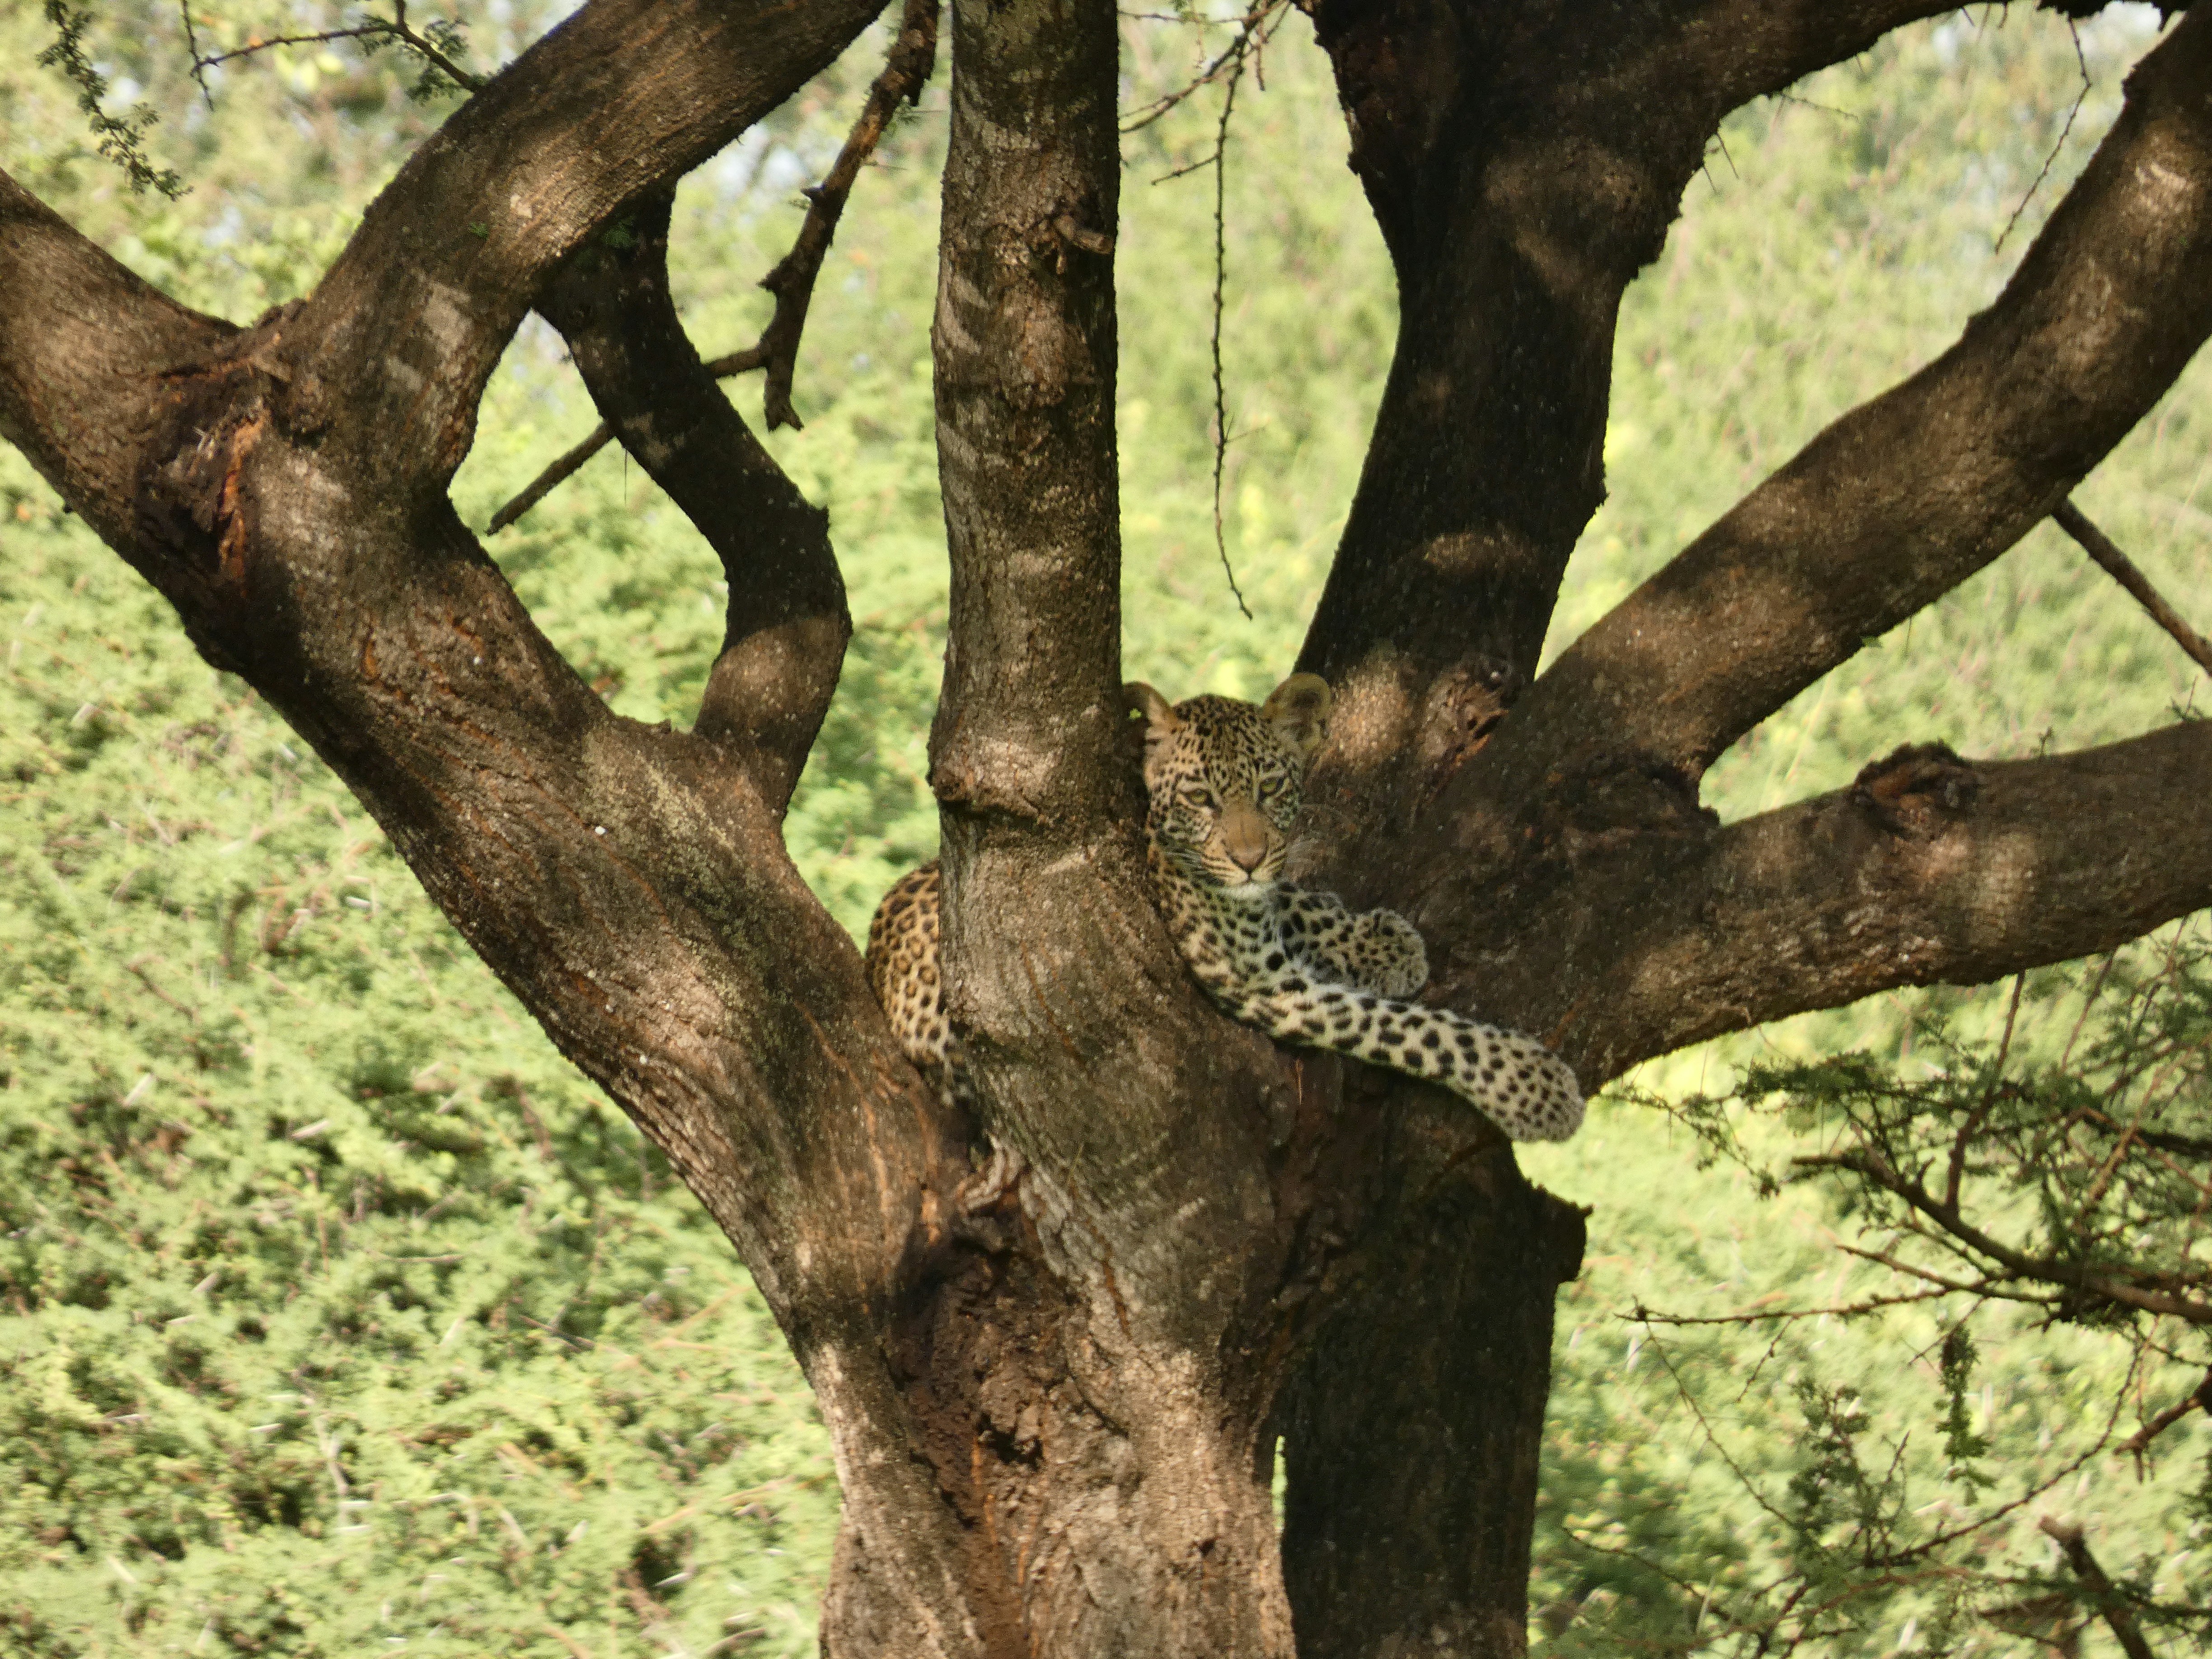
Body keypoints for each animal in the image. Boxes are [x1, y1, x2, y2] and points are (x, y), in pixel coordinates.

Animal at [864, 674, 1584, 1142]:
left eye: (1270, 788)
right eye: (1201, 798)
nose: (1247, 857)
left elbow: (1292, 897)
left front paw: (1379, 942)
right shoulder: (1260, 983)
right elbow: (1409, 1028)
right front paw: (1534, 1086)